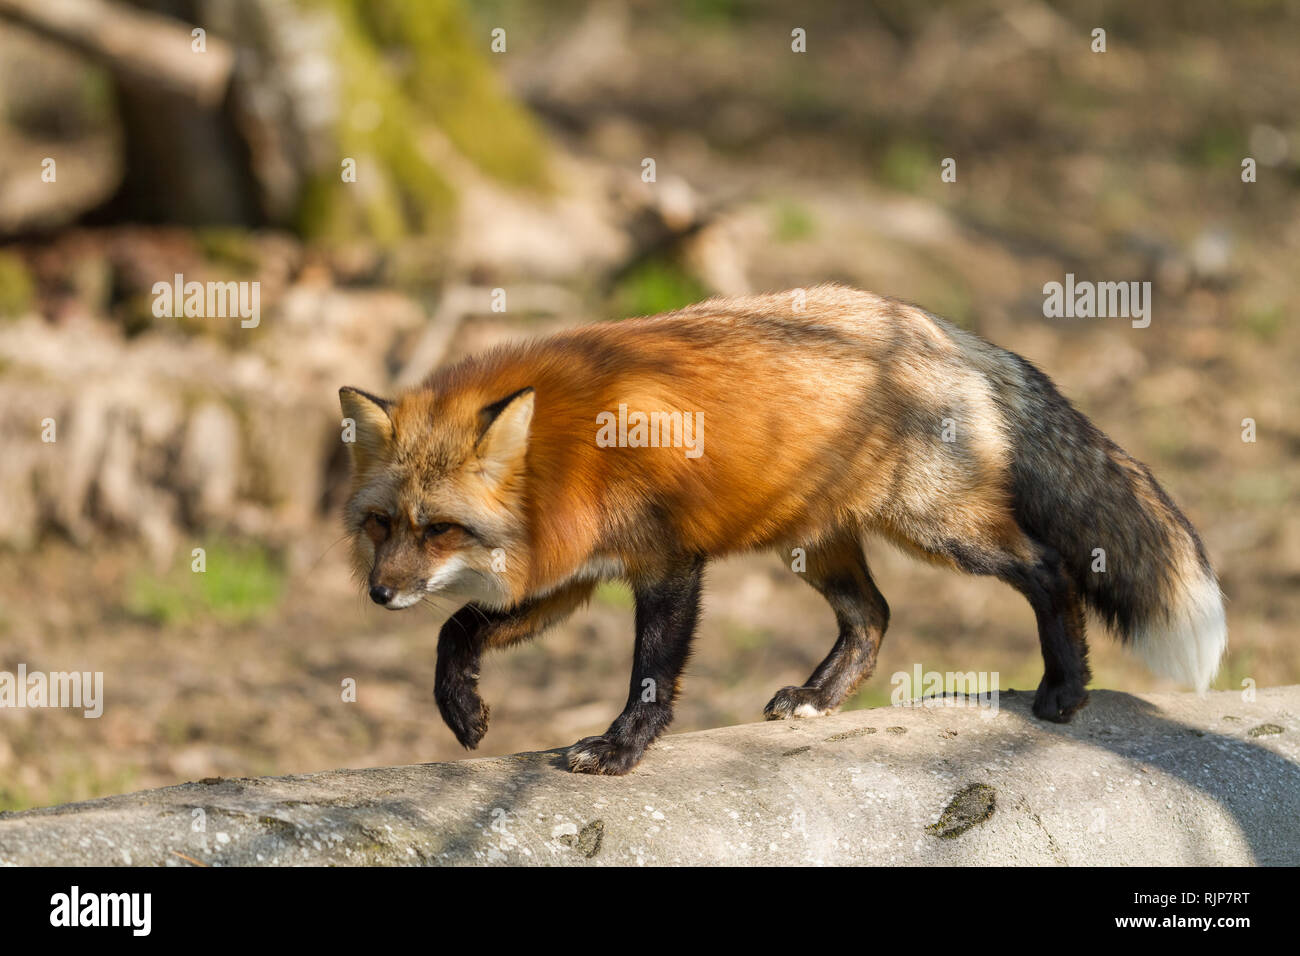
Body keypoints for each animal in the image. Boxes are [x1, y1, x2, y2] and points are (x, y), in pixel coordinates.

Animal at [339, 284, 1226, 775]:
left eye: (440, 529)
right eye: (381, 524)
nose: (379, 595)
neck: (571, 458)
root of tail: (937, 326)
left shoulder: (668, 561)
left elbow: (651, 674)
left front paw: (622, 749)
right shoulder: (575, 576)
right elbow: (457, 629)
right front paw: (461, 710)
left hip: (941, 529)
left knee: (1049, 571)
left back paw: (1066, 688)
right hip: (816, 544)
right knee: (874, 616)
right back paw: (819, 698)